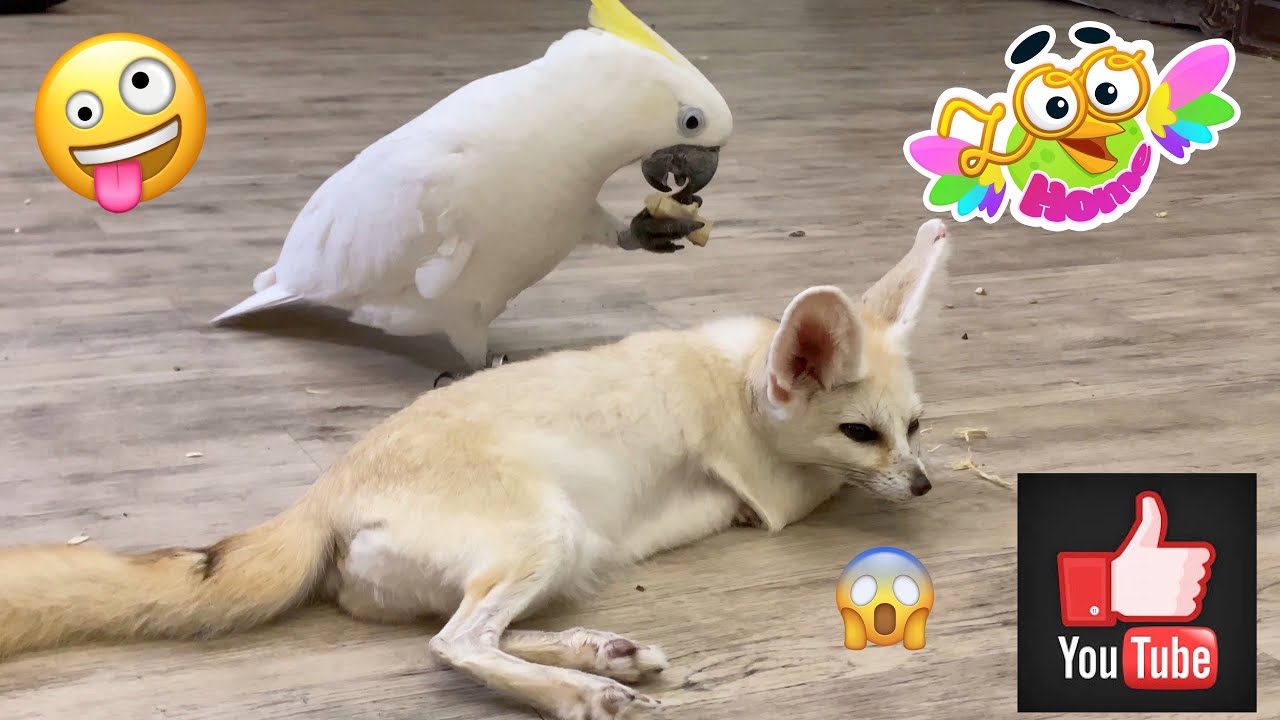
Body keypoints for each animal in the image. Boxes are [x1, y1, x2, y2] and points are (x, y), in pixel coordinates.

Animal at [0, 218, 950, 720]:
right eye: (861, 433)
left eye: (914, 426)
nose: (925, 486)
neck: (740, 373)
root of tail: (323, 492)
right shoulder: (782, 494)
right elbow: (824, 484)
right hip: (546, 535)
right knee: (453, 644)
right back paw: (579, 691)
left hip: (565, 551)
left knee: (470, 632)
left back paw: (598, 654)